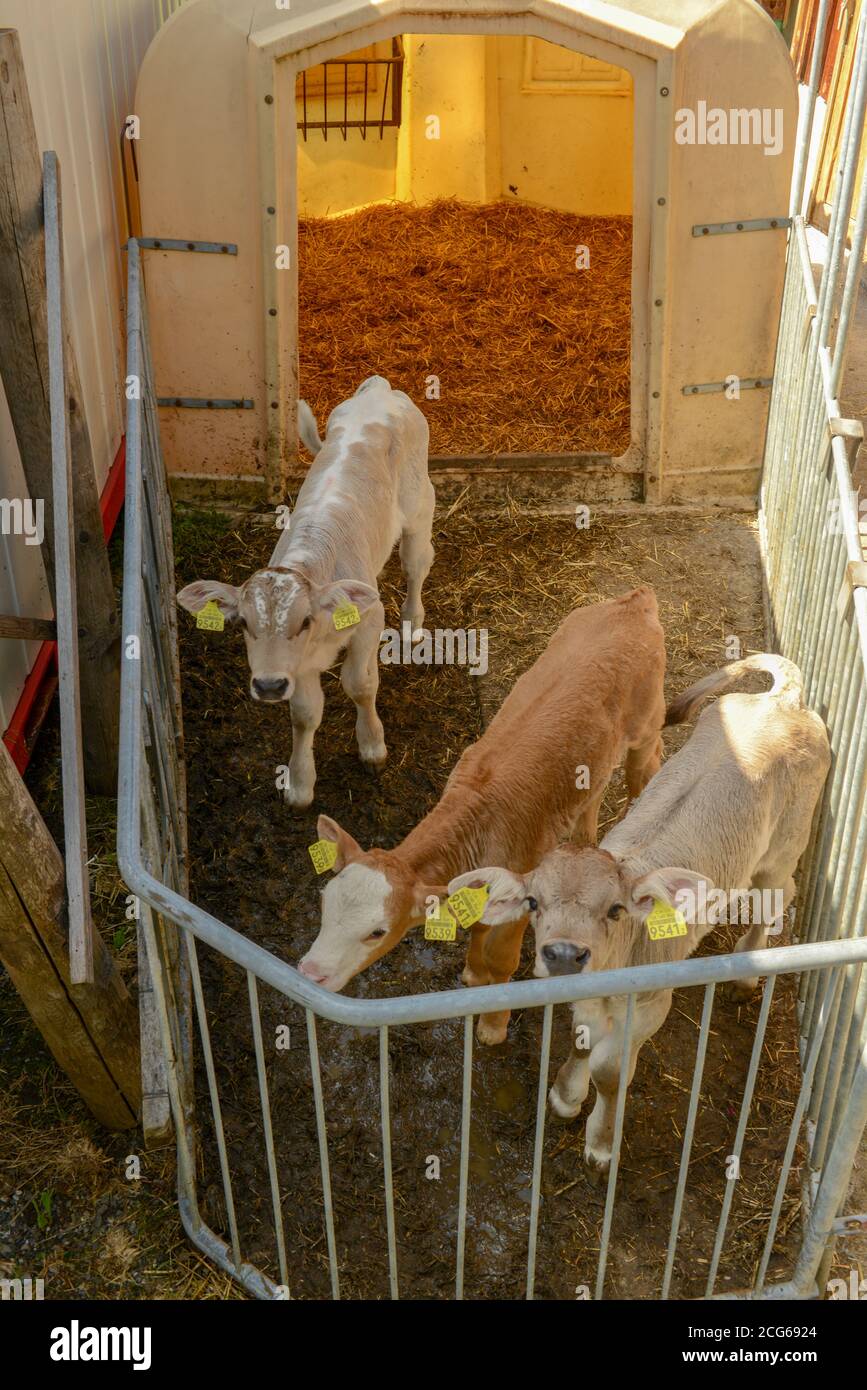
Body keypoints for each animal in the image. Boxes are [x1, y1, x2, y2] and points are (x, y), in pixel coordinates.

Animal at [177, 376, 435, 808]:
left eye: (305, 621)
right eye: (243, 624)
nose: (268, 686)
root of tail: (379, 389)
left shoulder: (369, 621)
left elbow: (361, 685)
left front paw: (372, 747)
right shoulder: (295, 667)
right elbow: (304, 714)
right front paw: (299, 784)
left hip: (419, 508)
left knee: (416, 564)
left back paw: (413, 622)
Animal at [298, 587, 667, 1042]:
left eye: (377, 932)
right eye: (324, 901)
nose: (312, 973)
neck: (475, 819)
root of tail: (634, 601)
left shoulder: (523, 893)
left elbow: (503, 961)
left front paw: (493, 1025)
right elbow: (476, 929)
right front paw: (473, 974)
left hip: (647, 720)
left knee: (647, 767)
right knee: (593, 793)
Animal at [448, 653, 830, 1171]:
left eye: (615, 909)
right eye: (533, 903)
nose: (563, 954)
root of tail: (783, 699)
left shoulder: (650, 1004)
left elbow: (611, 1071)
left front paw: (601, 1142)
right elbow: (581, 1041)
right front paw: (566, 1094)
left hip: (783, 848)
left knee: (779, 894)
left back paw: (747, 971)